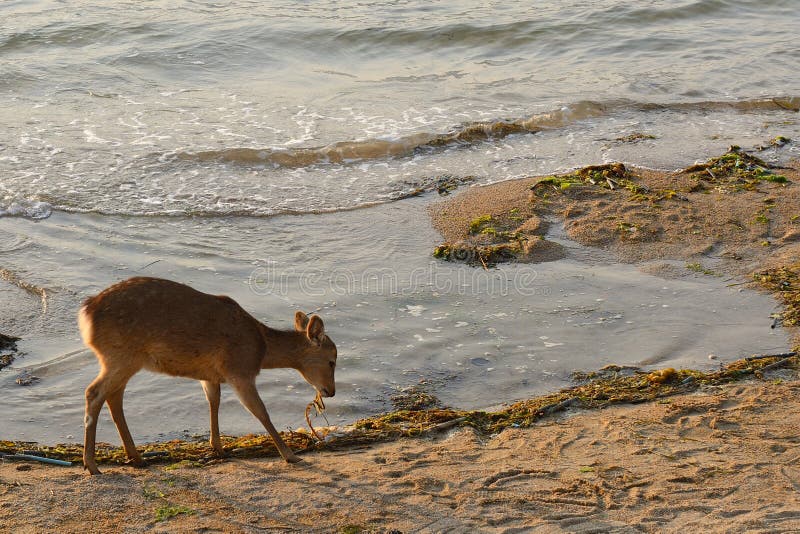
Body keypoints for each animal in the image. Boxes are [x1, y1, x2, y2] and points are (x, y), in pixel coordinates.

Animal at [78, 276, 337, 475]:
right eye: (332, 360)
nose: (331, 391)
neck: (260, 350)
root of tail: (85, 315)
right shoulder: (239, 370)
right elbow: (260, 412)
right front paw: (291, 456)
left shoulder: (211, 375)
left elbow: (214, 401)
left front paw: (219, 448)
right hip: (121, 355)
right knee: (94, 392)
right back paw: (92, 465)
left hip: (123, 360)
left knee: (113, 397)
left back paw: (136, 457)